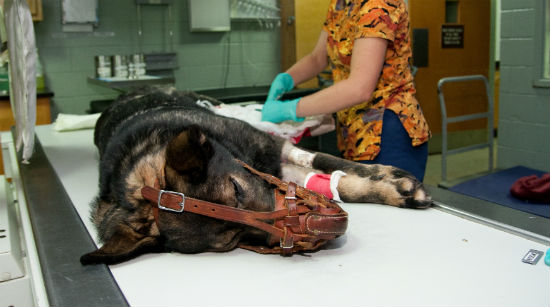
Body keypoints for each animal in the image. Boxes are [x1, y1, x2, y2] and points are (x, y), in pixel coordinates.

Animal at [81, 88, 436, 266]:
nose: (322, 230)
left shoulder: (273, 146)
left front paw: (392, 184)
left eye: (236, 190)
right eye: (231, 241)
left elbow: (333, 164)